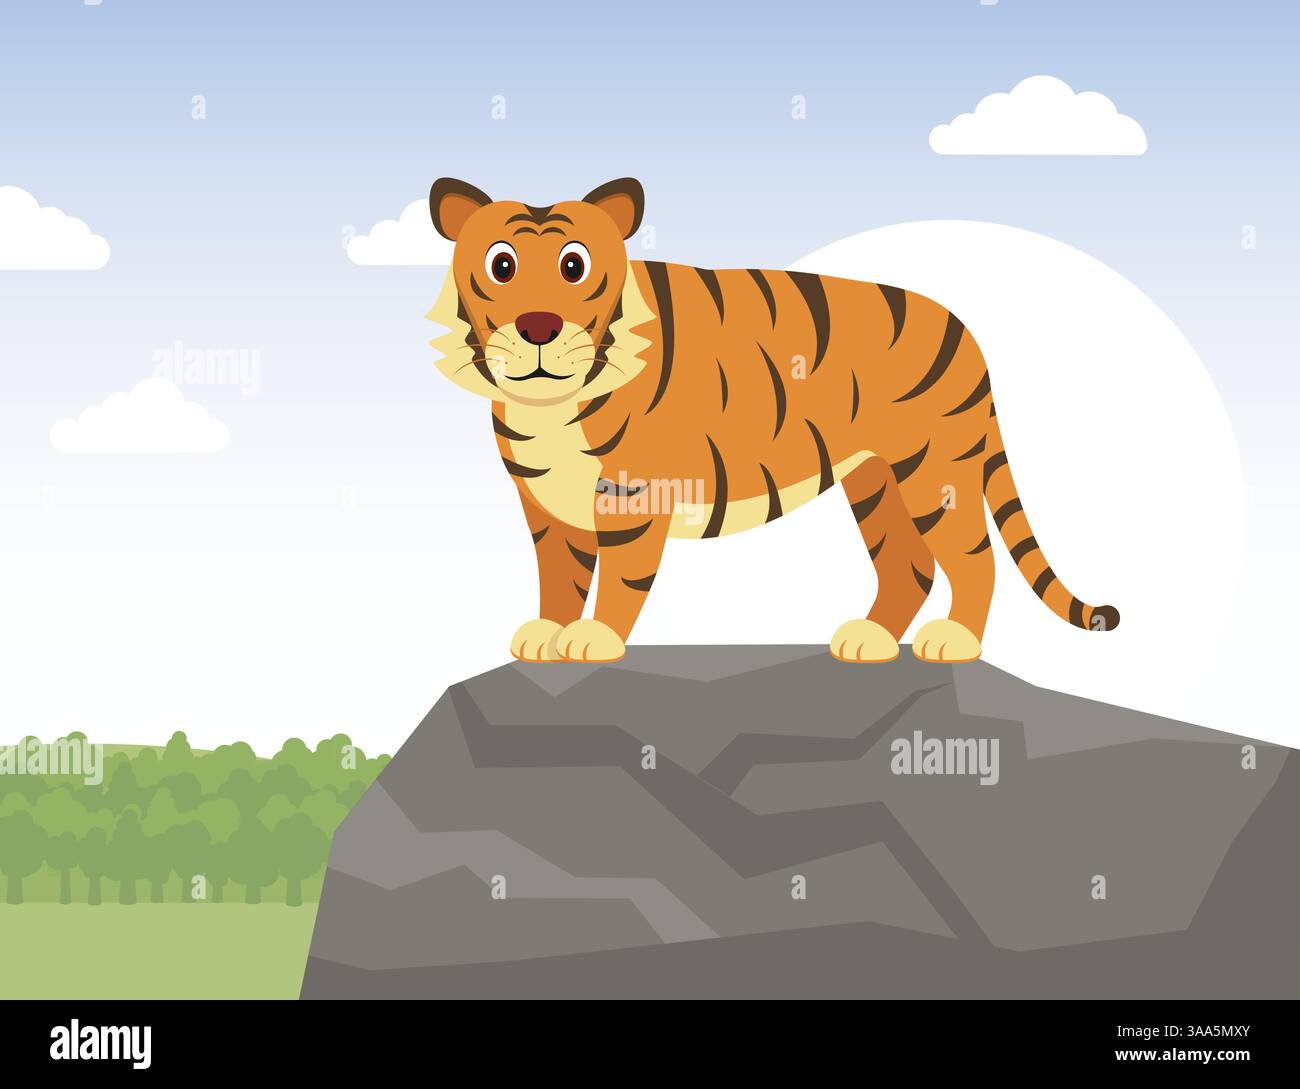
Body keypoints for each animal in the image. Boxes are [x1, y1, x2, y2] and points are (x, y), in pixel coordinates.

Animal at [426, 176, 1119, 665]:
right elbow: (559, 574)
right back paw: (868, 641)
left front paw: (593, 638)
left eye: (574, 265)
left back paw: (955, 641)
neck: (546, 410)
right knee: (909, 564)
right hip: (876, 480)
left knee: (975, 556)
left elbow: (621, 576)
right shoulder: (545, 502)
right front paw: (546, 633)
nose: (538, 326)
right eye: (502, 265)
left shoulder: (630, 494)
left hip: (932, 472)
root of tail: (966, 329)